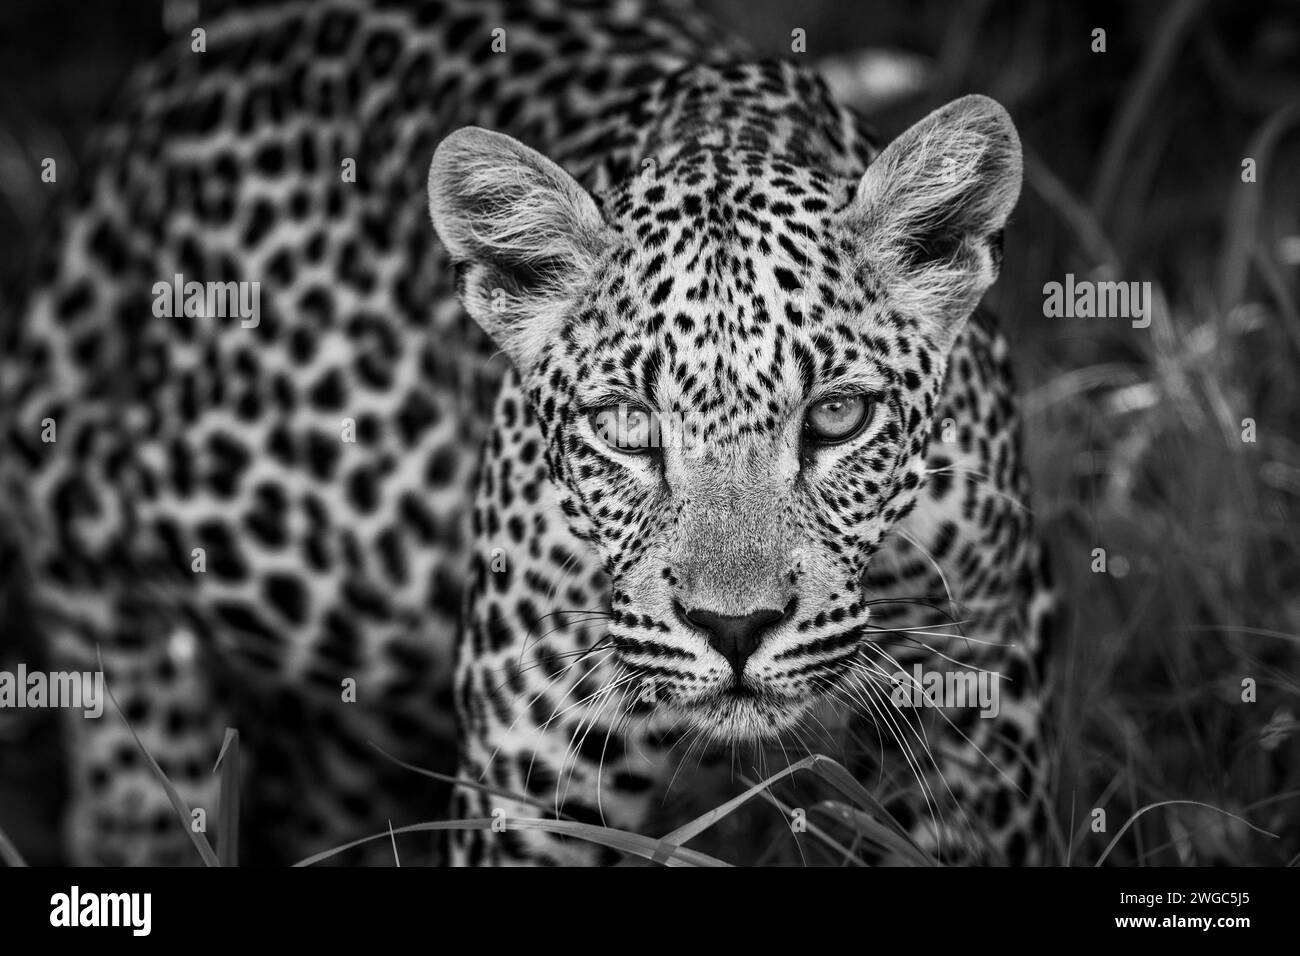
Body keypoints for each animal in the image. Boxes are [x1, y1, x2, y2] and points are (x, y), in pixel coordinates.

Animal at [0, 0, 1054, 866]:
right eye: (627, 425)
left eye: (837, 416)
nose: (736, 628)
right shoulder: (532, 789)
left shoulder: (976, 746)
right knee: (60, 481)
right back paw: (143, 804)